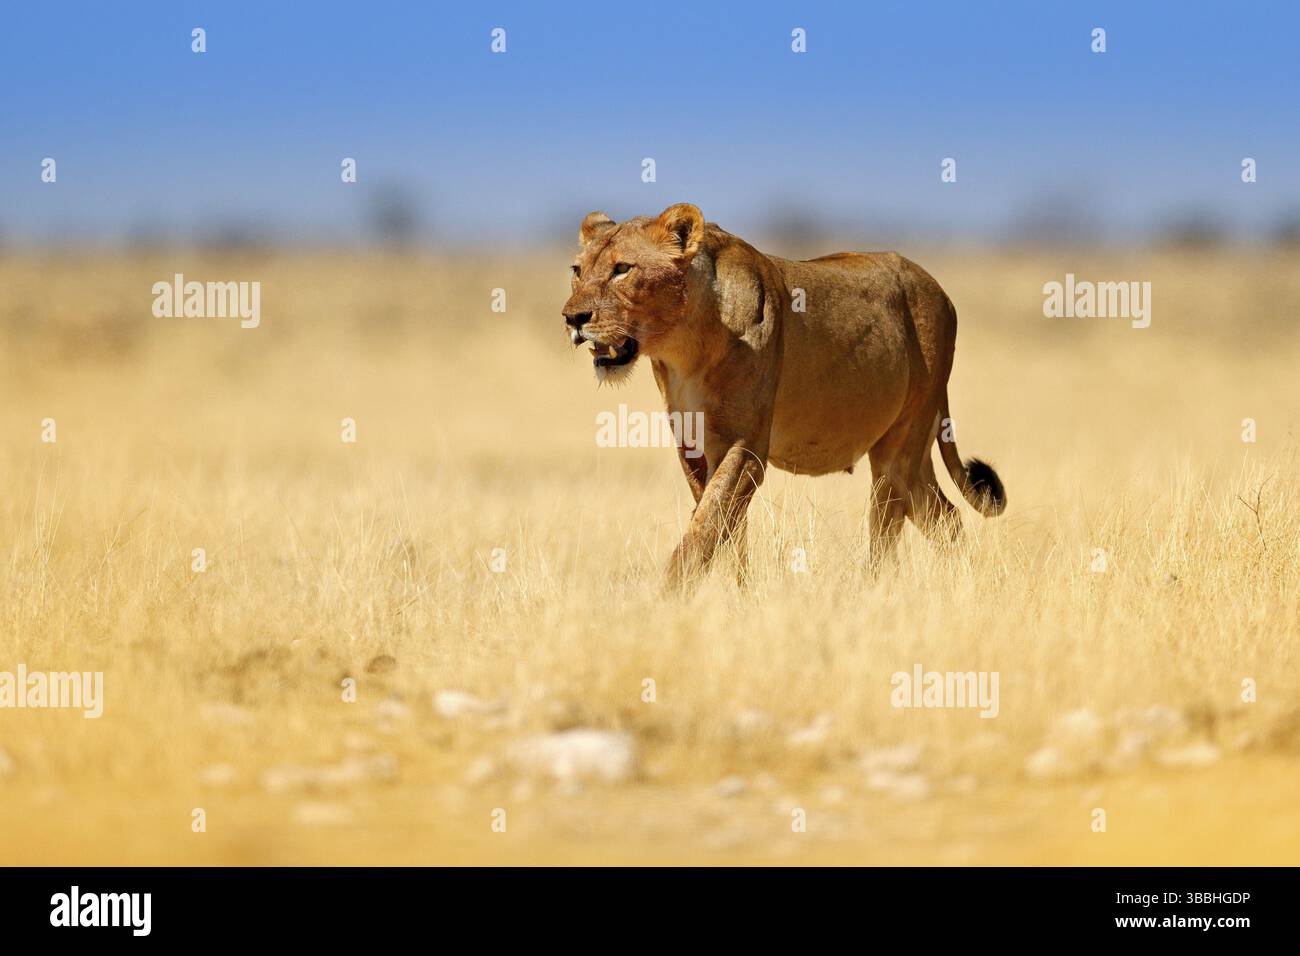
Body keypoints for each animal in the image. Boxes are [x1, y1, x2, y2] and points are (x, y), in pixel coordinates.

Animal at [561, 203, 1006, 588]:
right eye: (577, 271)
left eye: (622, 269)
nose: (572, 318)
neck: (685, 344)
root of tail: (941, 292)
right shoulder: (692, 445)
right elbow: (725, 528)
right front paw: (736, 595)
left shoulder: (745, 446)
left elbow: (708, 522)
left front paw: (669, 597)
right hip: (911, 458)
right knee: (944, 517)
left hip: (899, 447)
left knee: (889, 531)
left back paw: (877, 590)